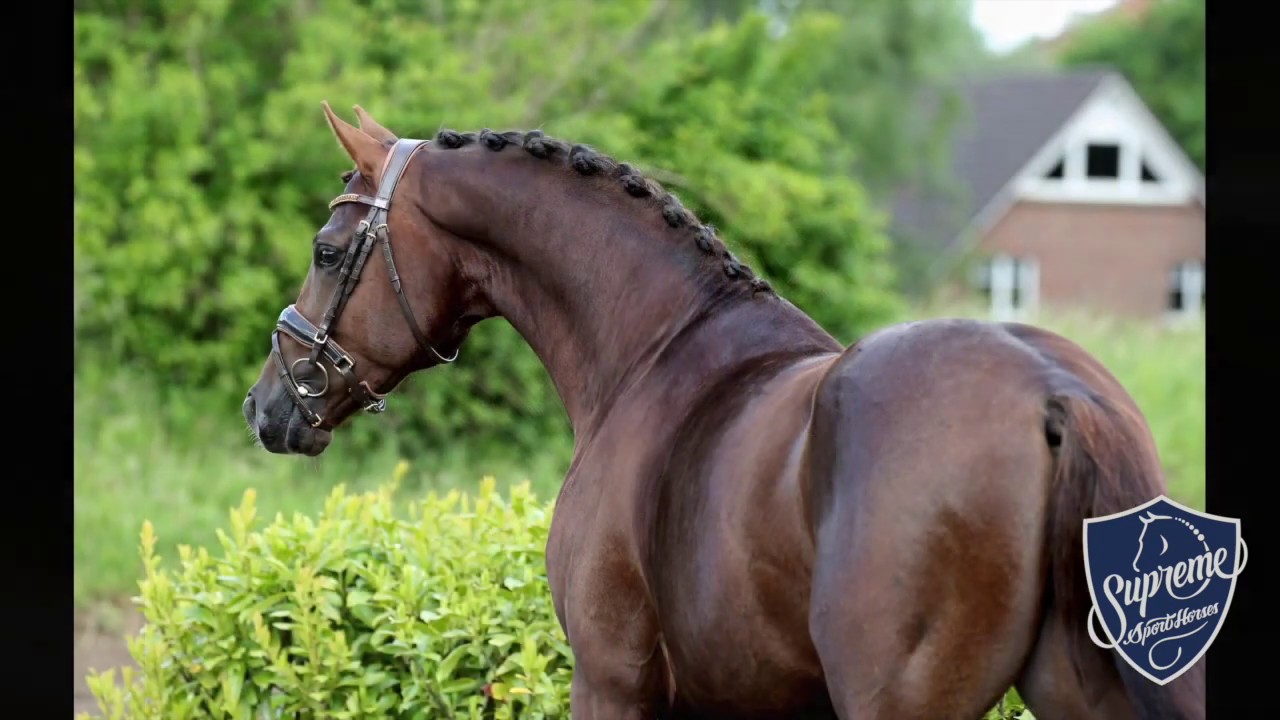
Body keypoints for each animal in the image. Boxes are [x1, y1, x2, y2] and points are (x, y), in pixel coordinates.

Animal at [242, 102, 1204, 719]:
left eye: (327, 249)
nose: (267, 404)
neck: (657, 347)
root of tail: (1053, 392)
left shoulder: (612, 680)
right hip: (1081, 690)